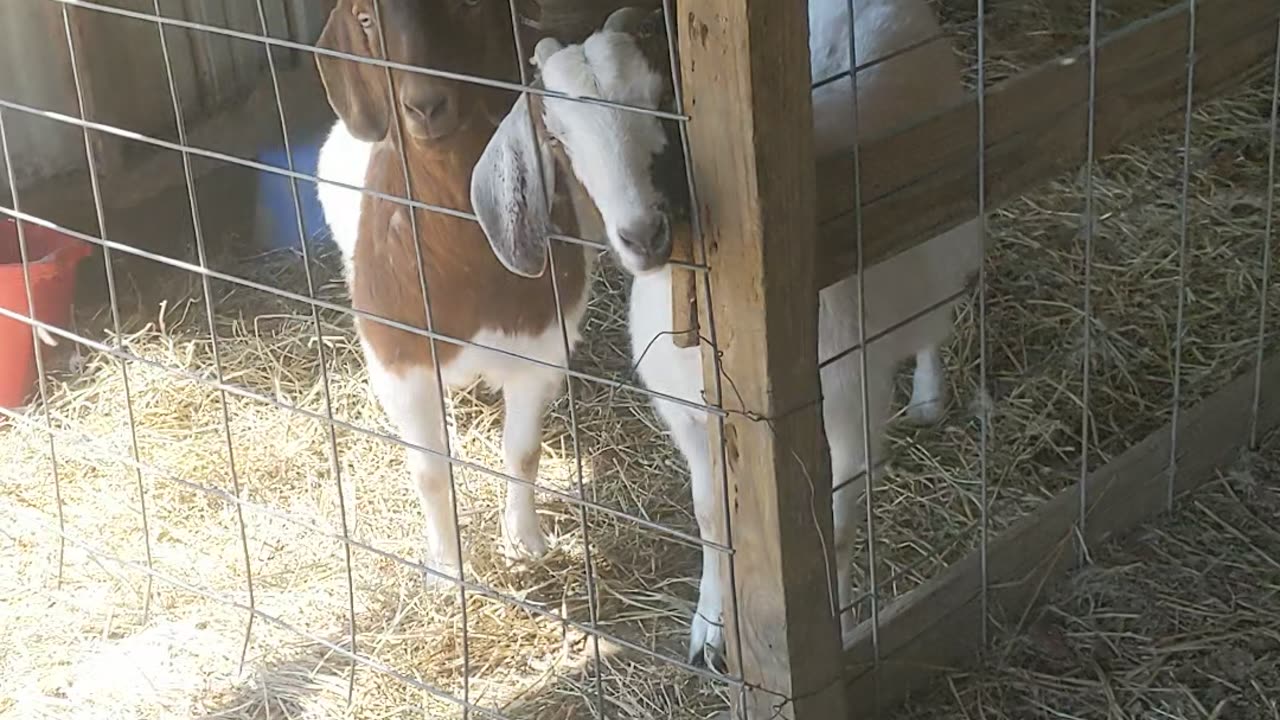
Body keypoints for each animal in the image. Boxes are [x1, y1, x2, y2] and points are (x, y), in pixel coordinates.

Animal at [313, 0, 599, 581]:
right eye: (365, 17)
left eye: (469, 6)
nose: (424, 105)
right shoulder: (399, 364)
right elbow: (429, 469)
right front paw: (446, 567)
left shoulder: (540, 351)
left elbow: (522, 453)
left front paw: (525, 542)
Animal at [483, 4, 983, 664]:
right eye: (558, 136)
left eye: (661, 99)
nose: (643, 235)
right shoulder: (693, 420)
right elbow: (712, 519)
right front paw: (711, 629)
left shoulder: (847, 402)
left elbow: (837, 523)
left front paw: (843, 627)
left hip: (946, 226)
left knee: (934, 314)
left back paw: (928, 397)